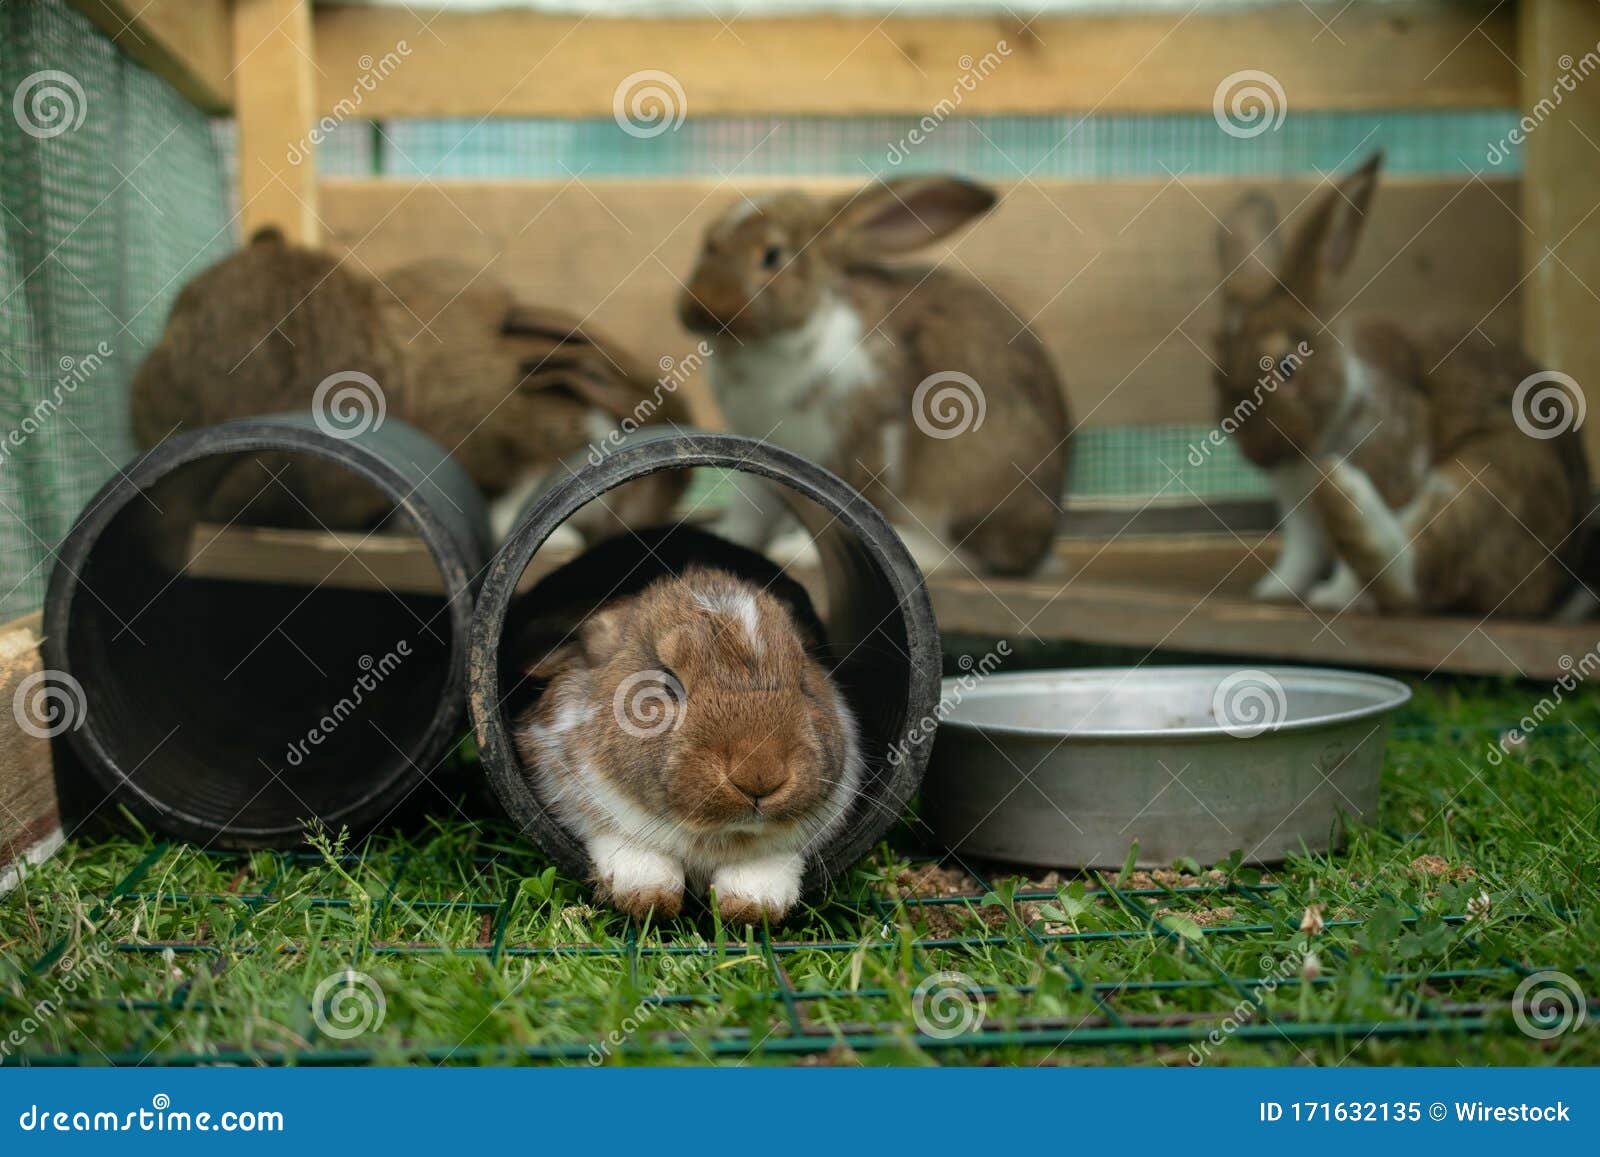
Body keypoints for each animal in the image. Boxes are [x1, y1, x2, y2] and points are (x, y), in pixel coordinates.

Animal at [677, 176, 1070, 576]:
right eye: (707, 243)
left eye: (772, 255)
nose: (698, 311)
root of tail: (1043, 543)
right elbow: (748, 512)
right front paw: (726, 536)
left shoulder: (867, 441)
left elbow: (845, 510)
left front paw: (800, 549)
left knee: (969, 555)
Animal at [1214, 152, 1591, 617]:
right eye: (1217, 372)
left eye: (1285, 367)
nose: (1258, 454)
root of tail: (1549, 595)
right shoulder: (1299, 517)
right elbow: (1300, 554)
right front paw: (1273, 591)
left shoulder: (1394, 463)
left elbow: (1352, 563)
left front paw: (1335, 597)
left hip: (1482, 478)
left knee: (1414, 579)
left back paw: (1347, 500)